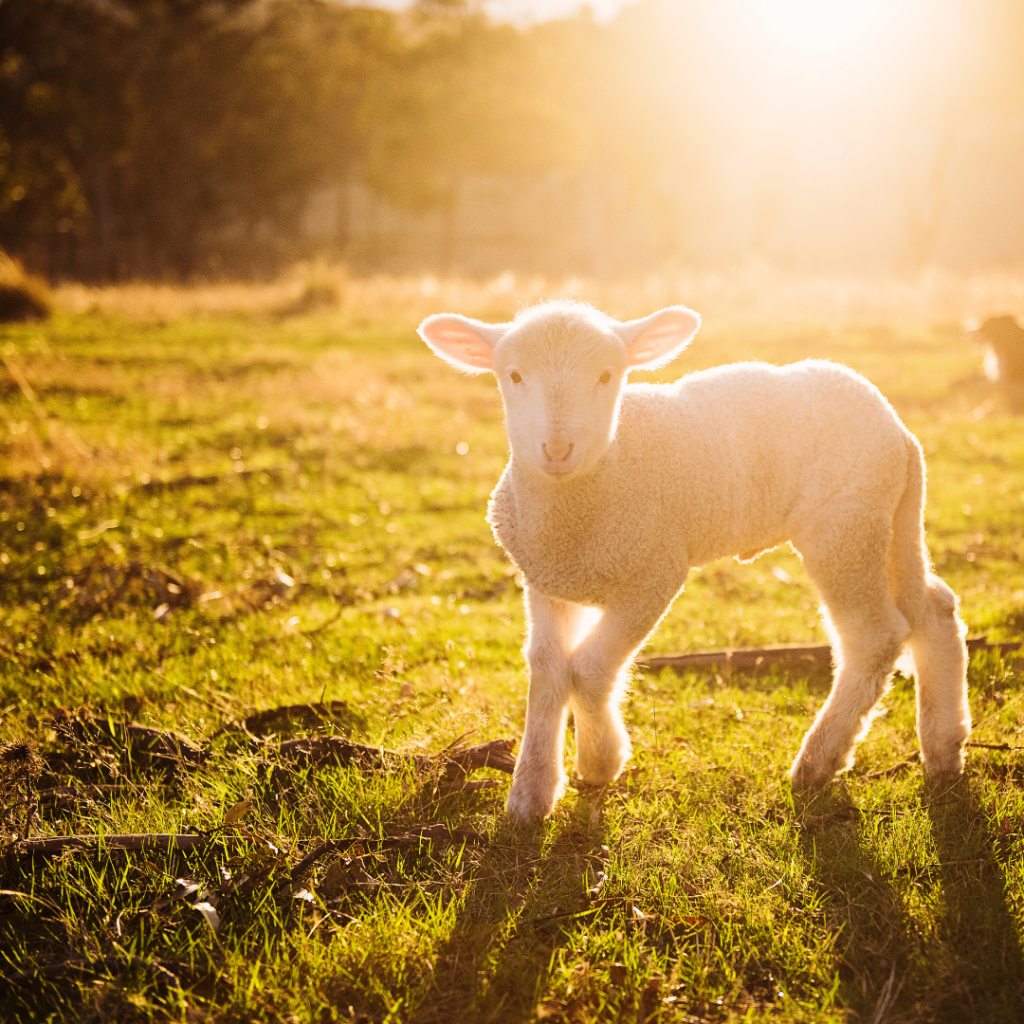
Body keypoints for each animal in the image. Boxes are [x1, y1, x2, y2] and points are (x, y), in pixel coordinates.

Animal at [418, 301, 971, 824]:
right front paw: (531, 793)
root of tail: (899, 431)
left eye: (607, 375)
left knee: (873, 637)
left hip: (844, 527)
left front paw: (600, 761)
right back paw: (944, 748)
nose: (556, 448)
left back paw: (818, 761)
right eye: (513, 375)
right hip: (891, 520)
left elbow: (589, 669)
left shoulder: (655, 574)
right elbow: (548, 667)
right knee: (934, 609)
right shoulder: (546, 580)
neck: (589, 491)